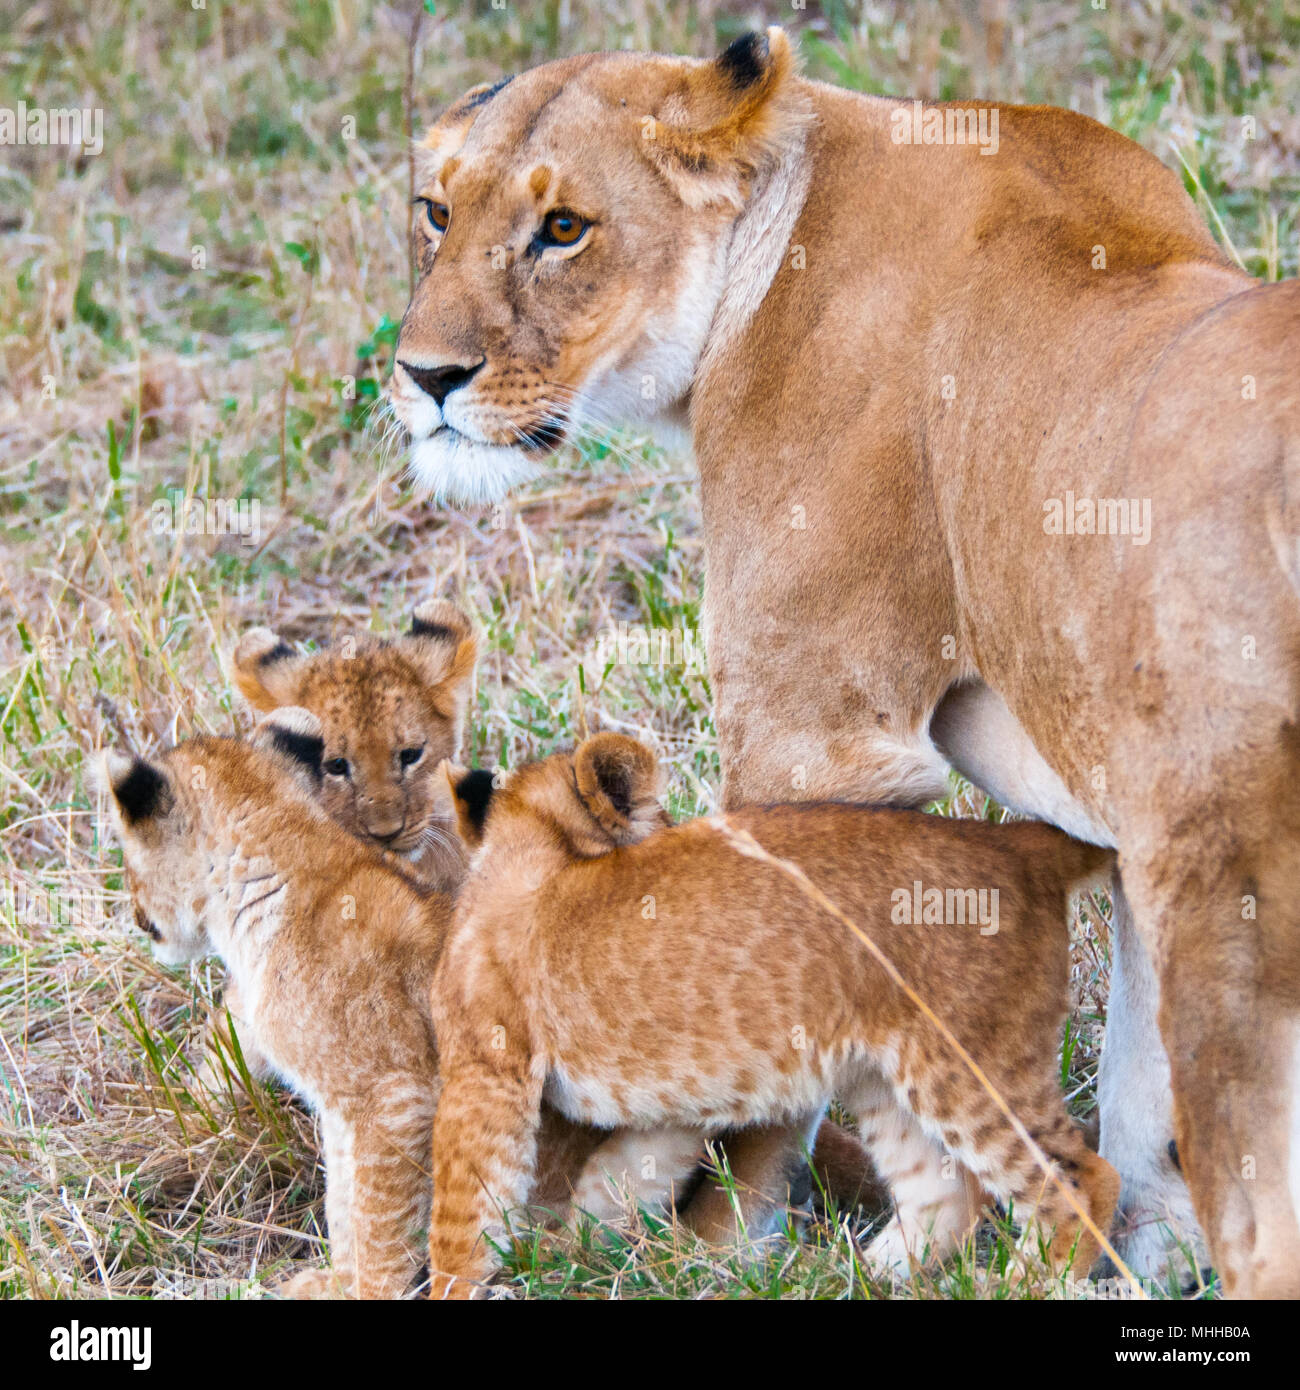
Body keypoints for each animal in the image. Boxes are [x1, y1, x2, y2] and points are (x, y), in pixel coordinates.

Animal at [389, 28, 1300, 1296]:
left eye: (564, 227)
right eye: (435, 211)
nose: (424, 378)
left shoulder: (814, 740)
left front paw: (718, 1240)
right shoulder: (1121, 825)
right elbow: (1136, 1101)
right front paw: (1121, 1263)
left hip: (1236, 885)